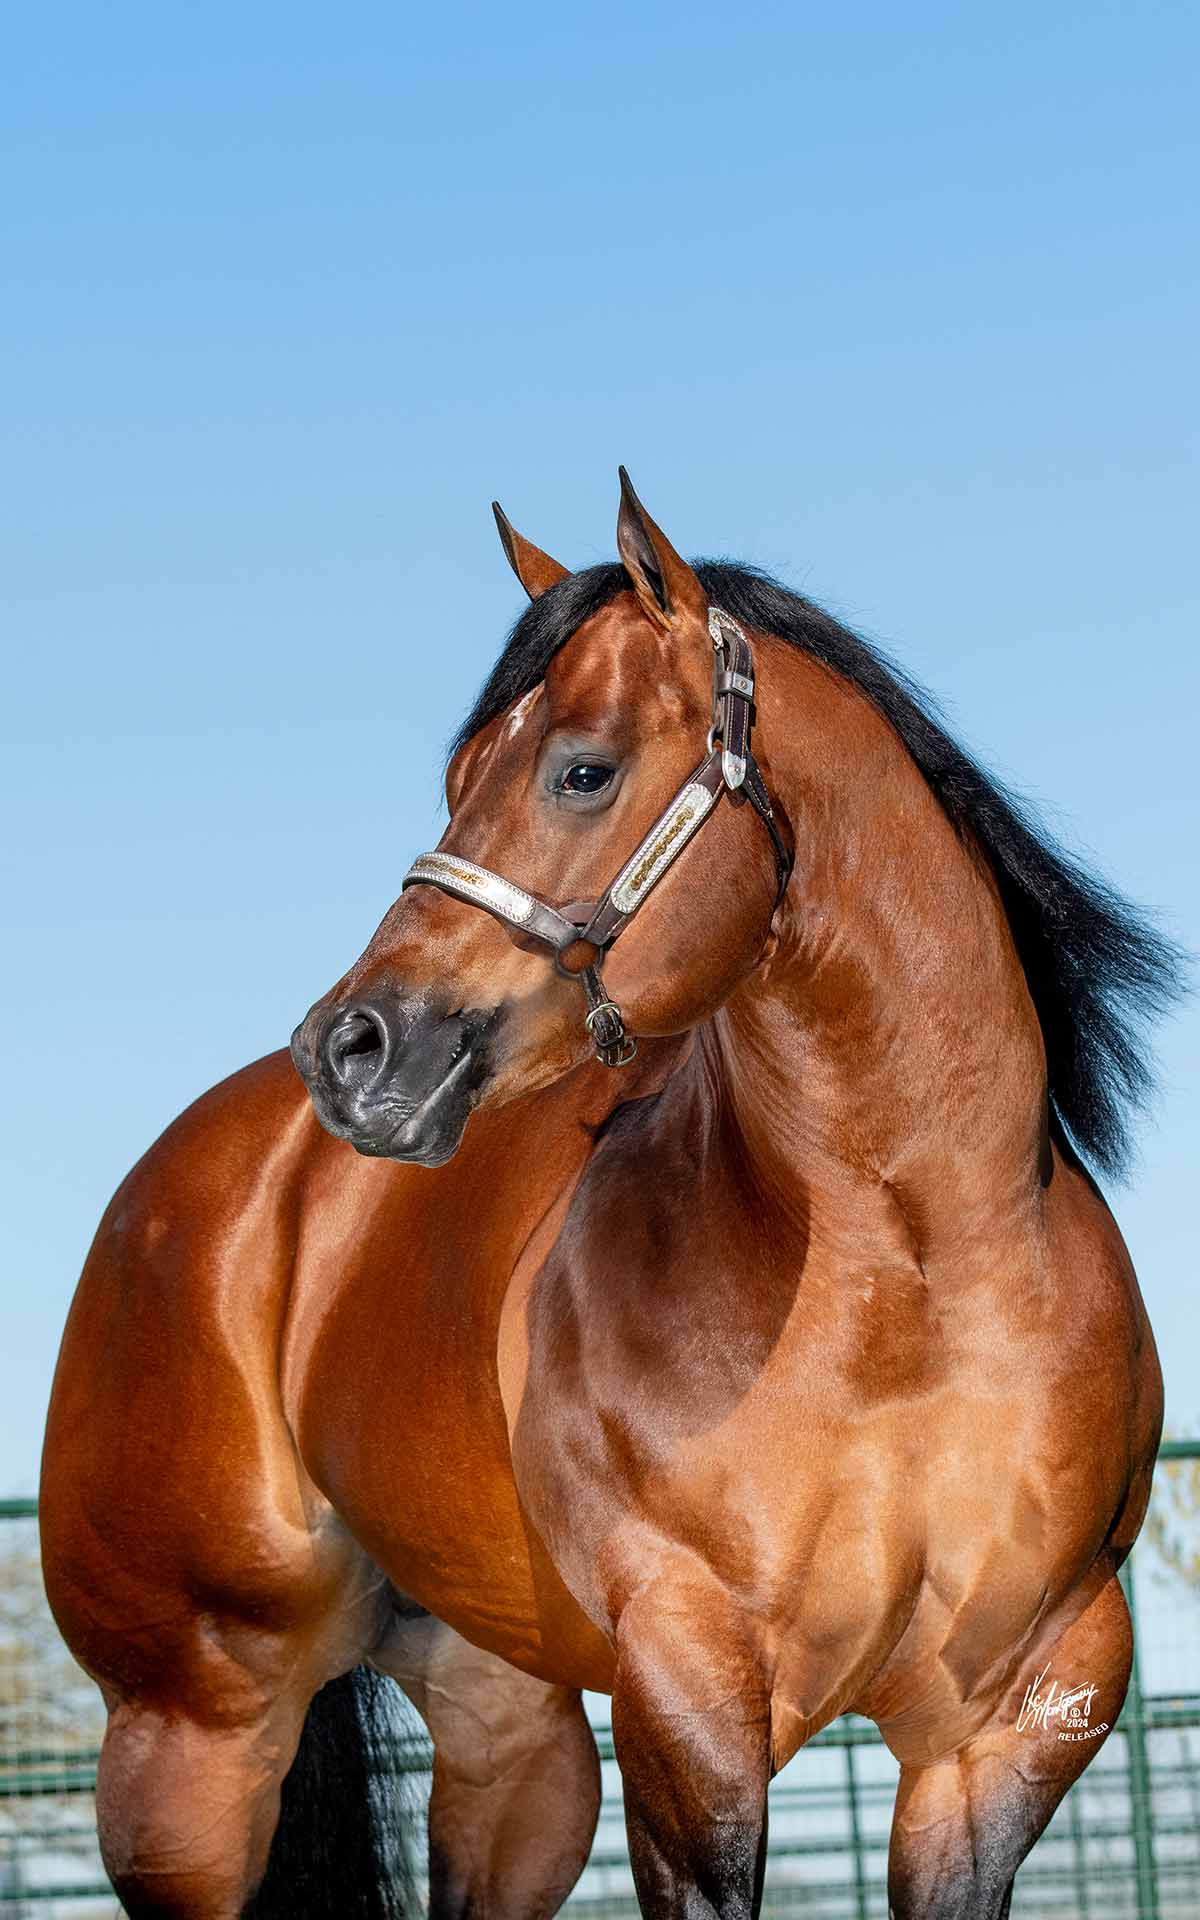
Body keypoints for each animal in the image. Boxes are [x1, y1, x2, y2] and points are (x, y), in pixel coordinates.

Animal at [40, 470, 1180, 1920]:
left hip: (509, 1735)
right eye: (459, 776)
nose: (351, 1050)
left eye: (581, 768)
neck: (918, 1278)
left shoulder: (1005, 1729)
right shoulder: (688, 1689)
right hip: (192, 1740)